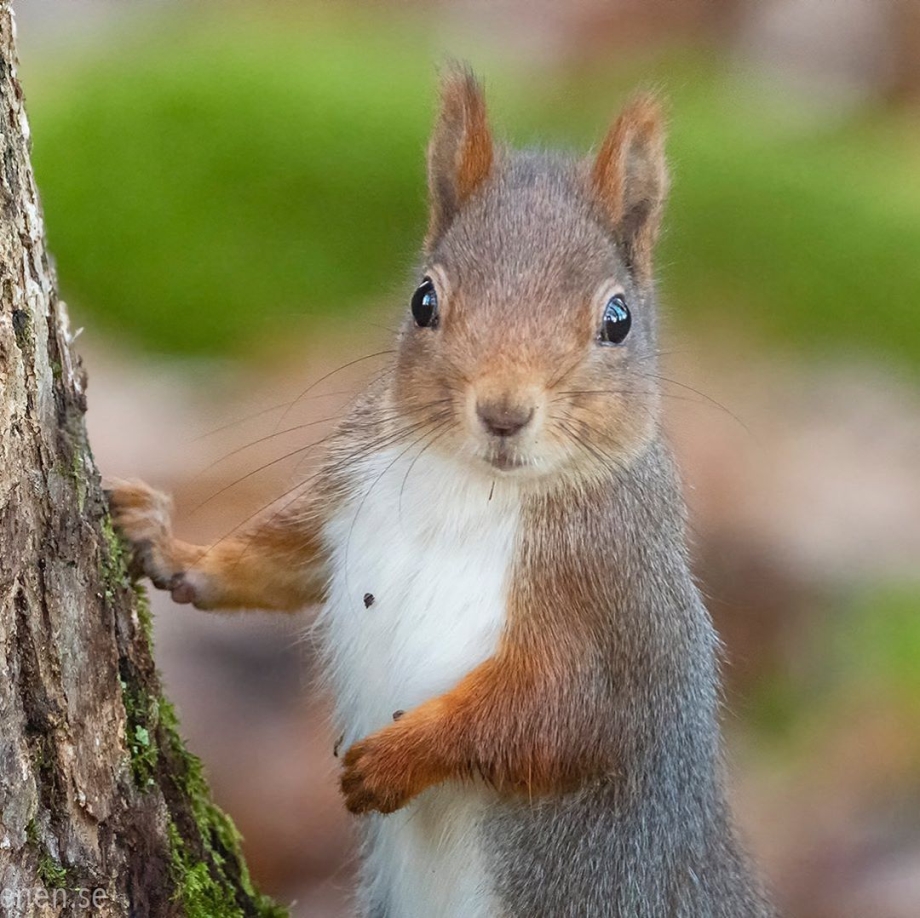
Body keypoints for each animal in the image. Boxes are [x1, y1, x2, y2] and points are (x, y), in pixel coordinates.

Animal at [110, 66, 776, 918]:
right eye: (423, 301)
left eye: (618, 319)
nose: (504, 411)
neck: (469, 487)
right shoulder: (348, 490)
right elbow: (280, 557)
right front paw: (171, 546)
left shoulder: (614, 610)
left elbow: (557, 717)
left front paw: (394, 760)